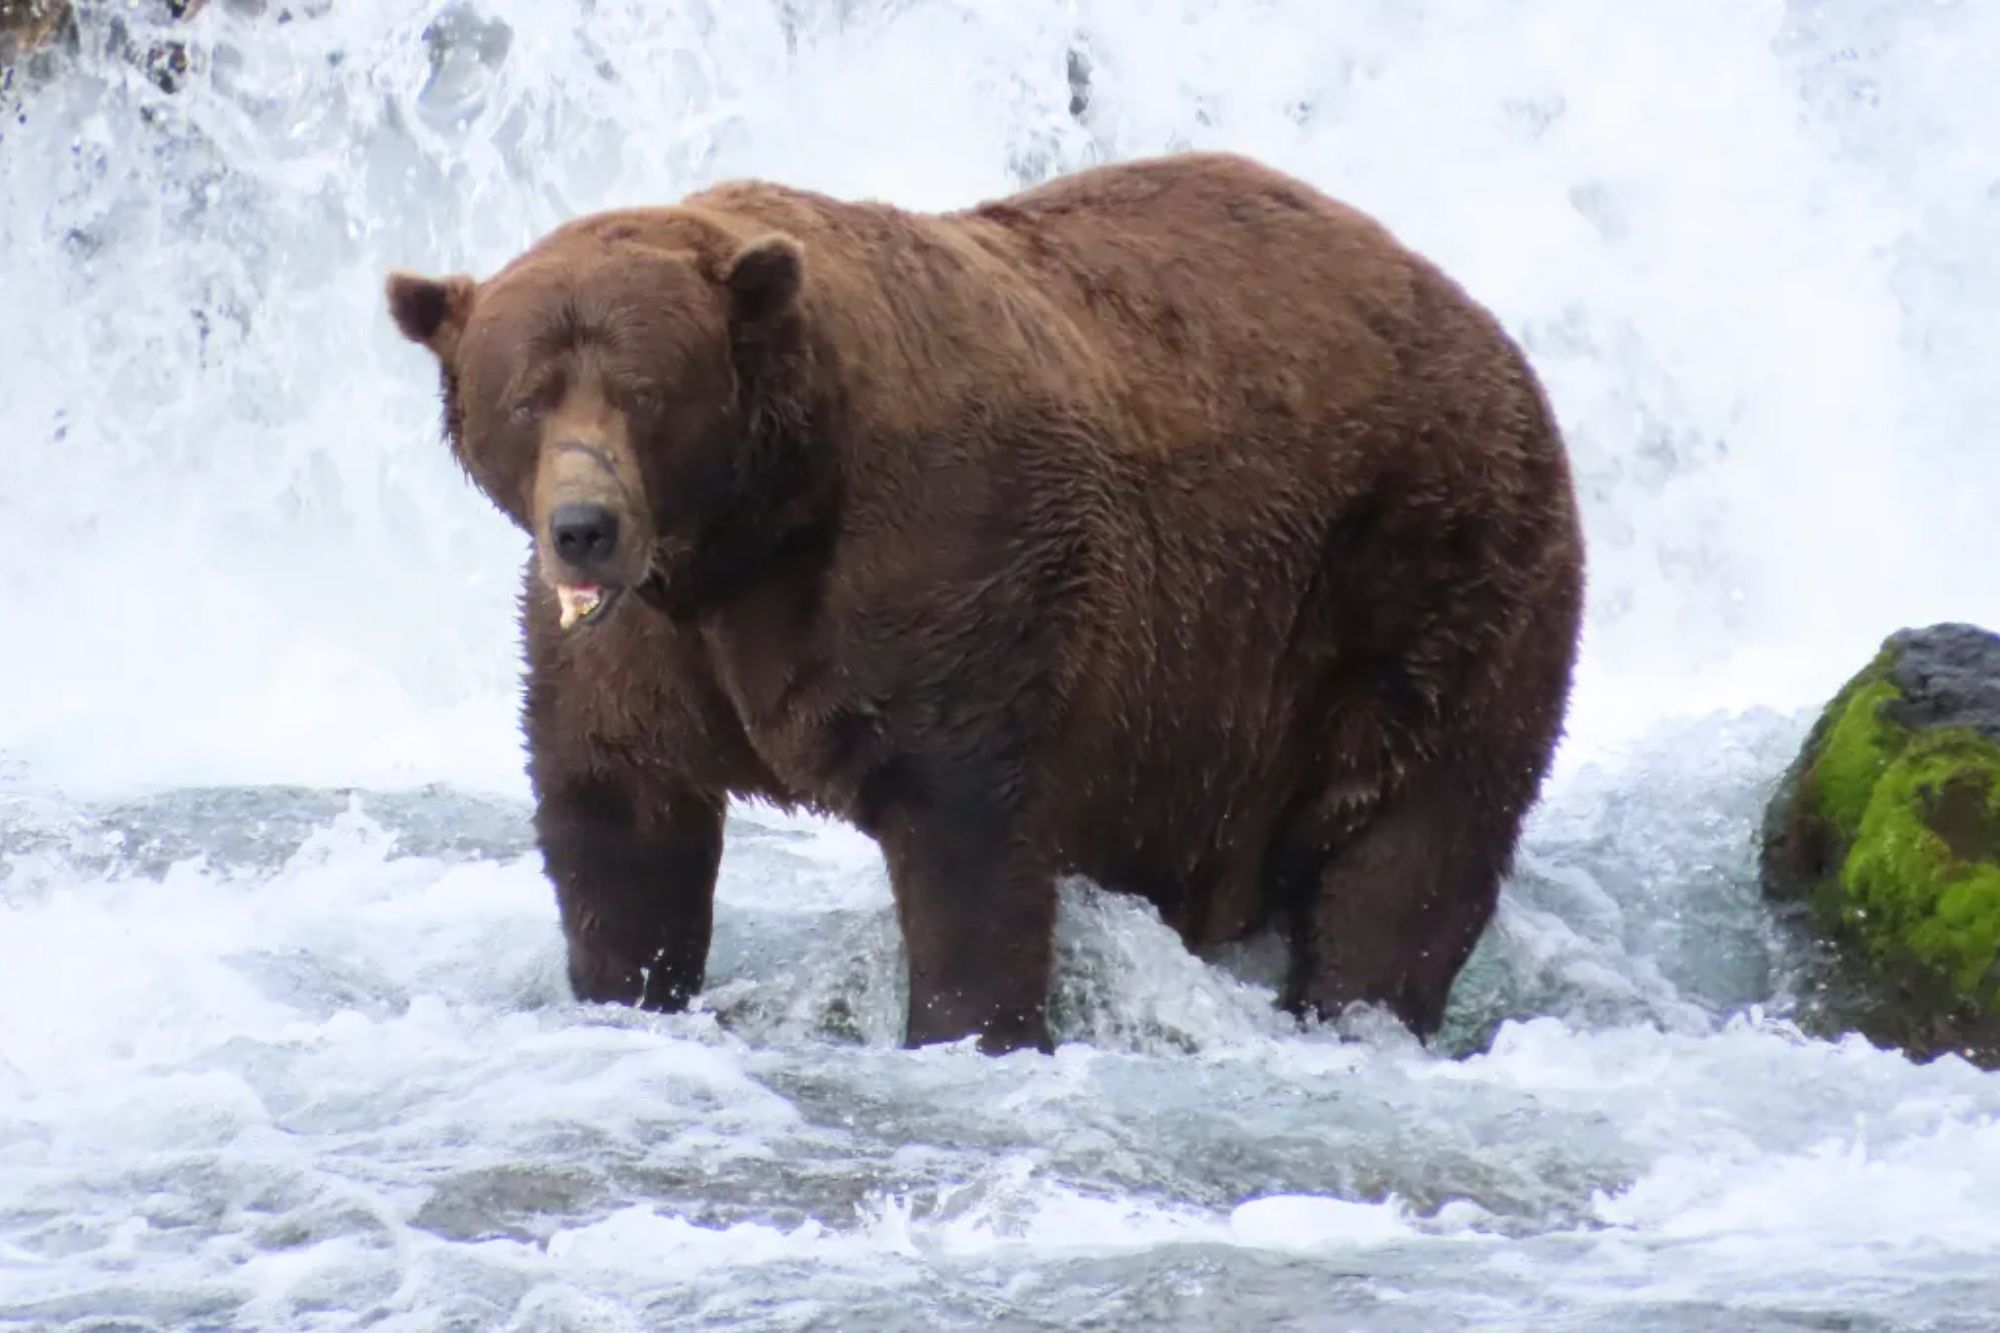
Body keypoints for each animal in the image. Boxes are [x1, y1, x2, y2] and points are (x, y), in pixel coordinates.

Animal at [385, 151, 1585, 1055]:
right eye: (526, 396)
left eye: (644, 392)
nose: (584, 525)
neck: (752, 531)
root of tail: (1476, 318)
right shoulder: (640, 647)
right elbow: (618, 812)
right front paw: (628, 986)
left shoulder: (947, 562)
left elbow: (965, 829)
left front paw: (969, 1026)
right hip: (1210, 711)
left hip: (1422, 571)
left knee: (1414, 840)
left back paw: (1357, 1008)